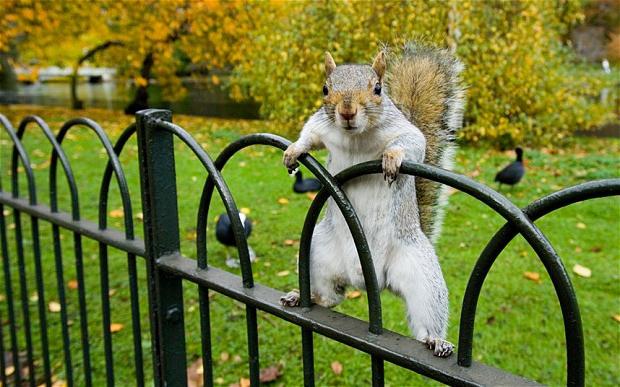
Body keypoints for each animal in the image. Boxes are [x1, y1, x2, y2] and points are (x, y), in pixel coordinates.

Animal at [280, 41, 464, 358]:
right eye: (325, 89)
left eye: (378, 89)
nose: (347, 111)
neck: (356, 136)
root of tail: (371, 280)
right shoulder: (321, 125)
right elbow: (309, 134)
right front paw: (293, 150)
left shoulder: (404, 131)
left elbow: (412, 143)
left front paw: (392, 157)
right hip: (319, 254)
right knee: (331, 297)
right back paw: (306, 297)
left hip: (420, 274)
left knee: (426, 318)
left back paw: (436, 341)